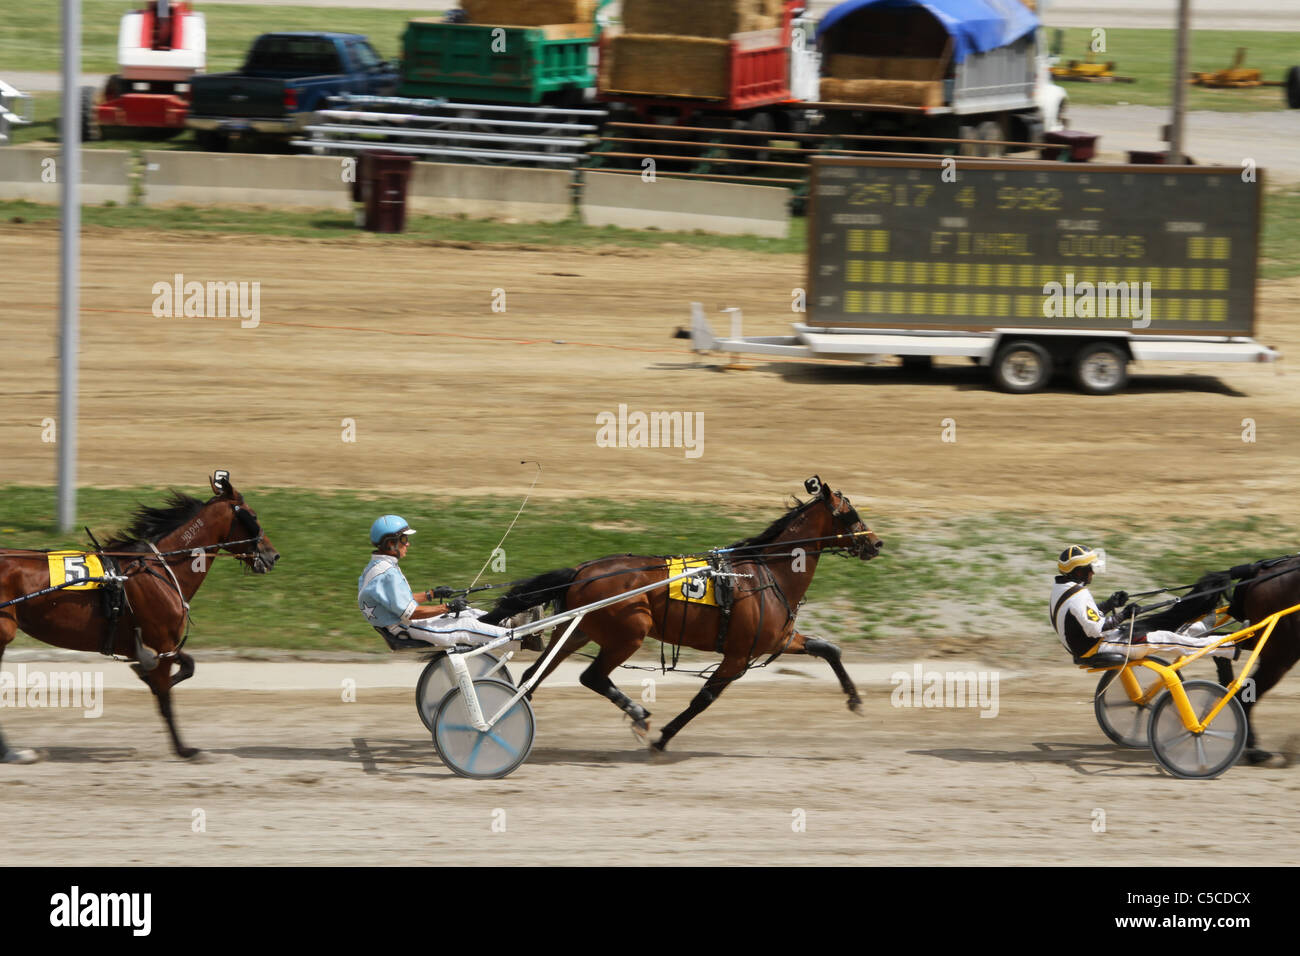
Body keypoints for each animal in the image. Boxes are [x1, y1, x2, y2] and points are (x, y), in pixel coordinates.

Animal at [0, 471, 279, 763]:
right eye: (253, 516)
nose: (273, 555)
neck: (159, 569)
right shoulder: (162, 639)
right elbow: (166, 694)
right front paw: (184, 749)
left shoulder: (160, 642)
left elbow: (185, 666)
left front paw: (146, 674)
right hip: (3, 632)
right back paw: (13, 753)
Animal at [481, 476, 882, 752]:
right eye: (850, 513)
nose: (876, 543)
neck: (768, 573)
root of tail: (582, 571)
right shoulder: (739, 655)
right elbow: (703, 699)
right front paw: (663, 738)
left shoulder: (778, 639)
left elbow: (829, 649)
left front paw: (855, 700)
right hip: (629, 633)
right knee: (591, 676)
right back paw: (638, 715)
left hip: (580, 631)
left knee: (534, 675)